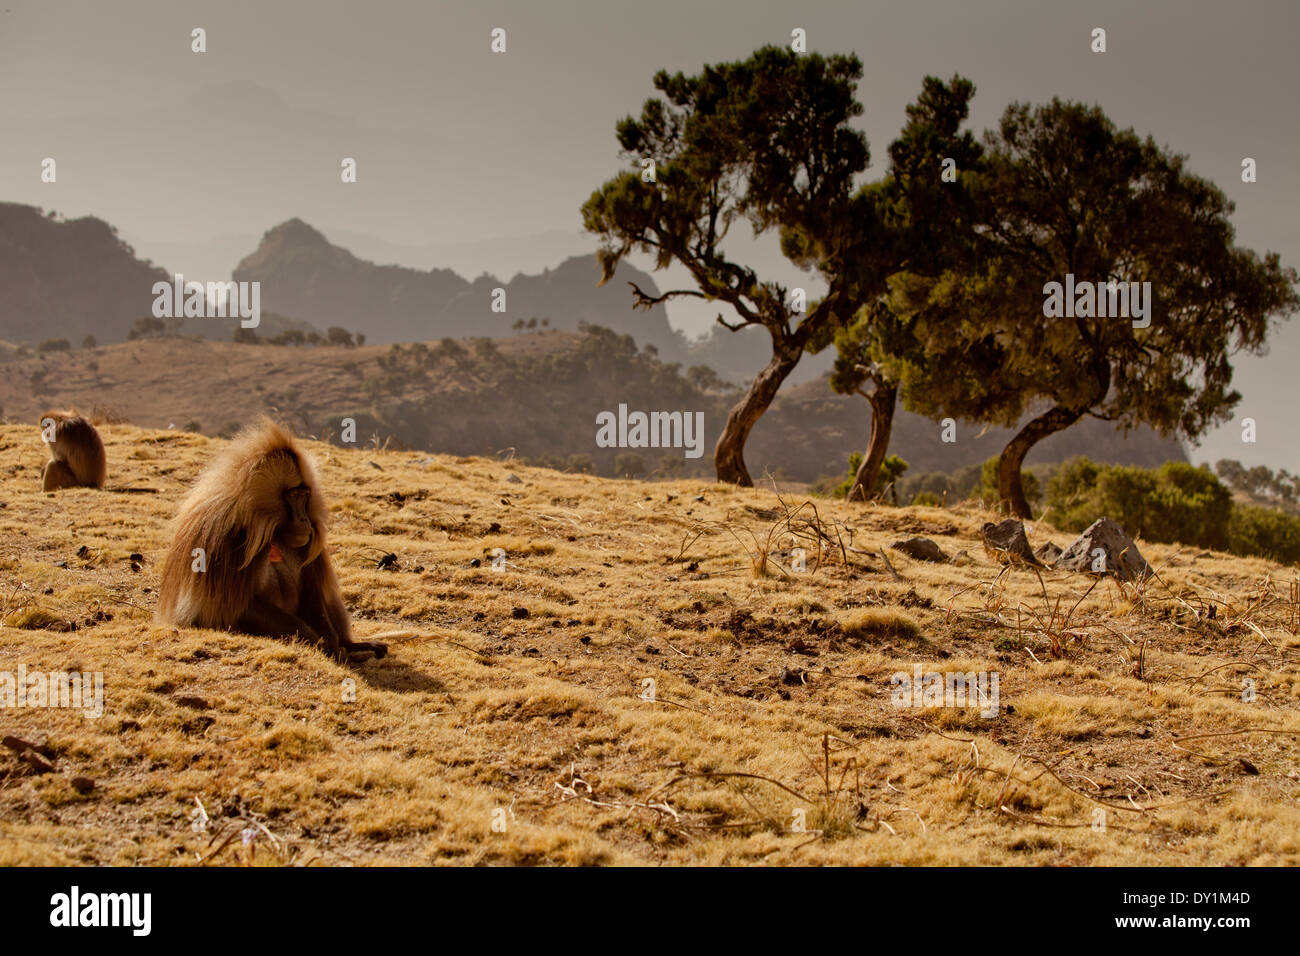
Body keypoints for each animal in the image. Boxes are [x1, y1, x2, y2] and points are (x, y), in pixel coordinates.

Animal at [156, 419, 387, 664]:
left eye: (305, 495)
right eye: (293, 496)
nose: (305, 520)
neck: (270, 529)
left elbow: (312, 592)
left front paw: (336, 644)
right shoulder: (224, 538)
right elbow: (237, 606)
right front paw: (321, 644)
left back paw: (352, 645)